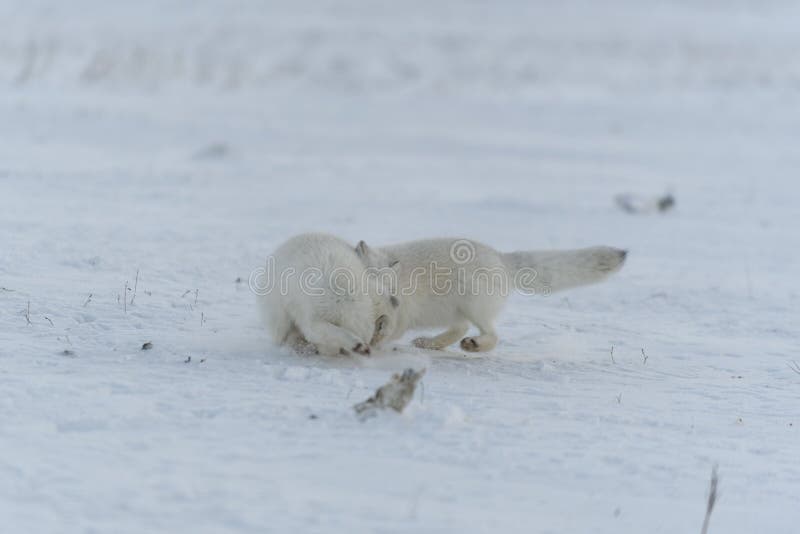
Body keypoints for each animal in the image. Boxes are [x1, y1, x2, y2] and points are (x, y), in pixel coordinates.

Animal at [257, 233, 399, 356]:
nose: (362, 242)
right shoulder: (314, 320)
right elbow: (335, 334)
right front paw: (357, 346)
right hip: (281, 316)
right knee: (283, 337)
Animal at [354, 238, 627, 352]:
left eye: (389, 290)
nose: (389, 303)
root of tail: (501, 258)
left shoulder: (399, 317)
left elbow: (387, 331)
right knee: (461, 328)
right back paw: (430, 343)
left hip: (475, 306)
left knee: (491, 334)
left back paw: (473, 345)